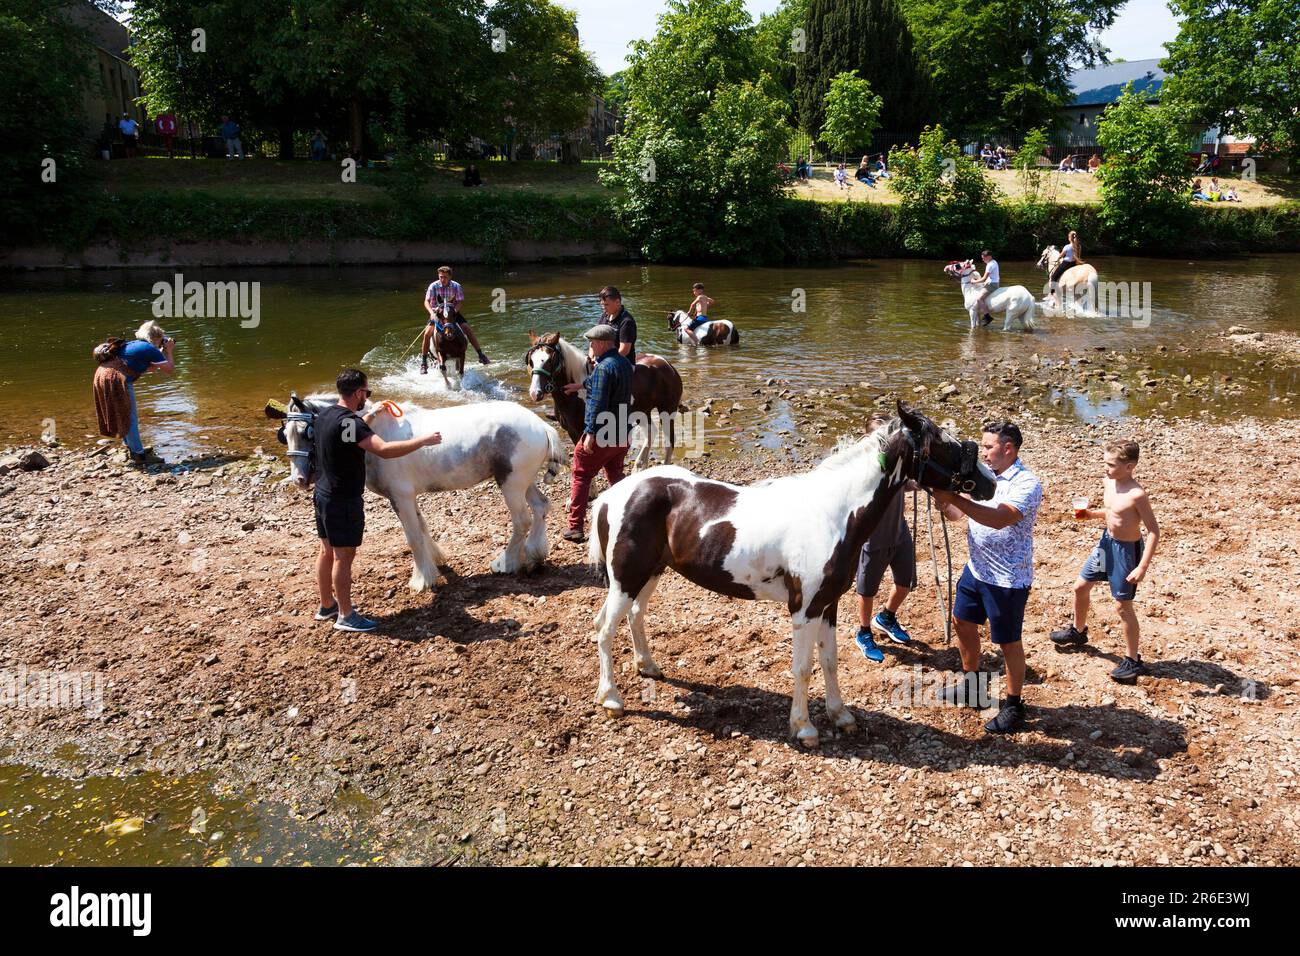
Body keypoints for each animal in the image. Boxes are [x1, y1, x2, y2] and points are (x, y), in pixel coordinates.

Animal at [267, 394, 564, 589]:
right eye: (285, 433)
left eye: (307, 432)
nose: (299, 479)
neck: (375, 434)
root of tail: (540, 425)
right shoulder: (408, 498)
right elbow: (422, 529)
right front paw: (435, 561)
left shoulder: (401, 497)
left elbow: (412, 537)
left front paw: (422, 578)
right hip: (523, 483)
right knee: (541, 508)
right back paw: (535, 555)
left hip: (512, 485)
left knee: (522, 520)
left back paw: (508, 562)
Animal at [524, 331, 687, 471]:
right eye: (531, 360)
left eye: (550, 360)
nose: (535, 393)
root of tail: (667, 365)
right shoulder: (572, 431)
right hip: (642, 411)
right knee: (651, 432)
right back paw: (639, 465)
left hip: (667, 410)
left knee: (670, 440)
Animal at [586, 402, 997, 747]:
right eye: (944, 444)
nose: (990, 482)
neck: (832, 514)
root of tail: (612, 495)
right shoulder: (805, 610)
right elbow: (802, 668)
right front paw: (804, 728)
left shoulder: (829, 605)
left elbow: (829, 660)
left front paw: (841, 716)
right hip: (626, 579)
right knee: (605, 628)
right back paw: (611, 698)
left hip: (650, 573)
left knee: (635, 616)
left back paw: (648, 667)